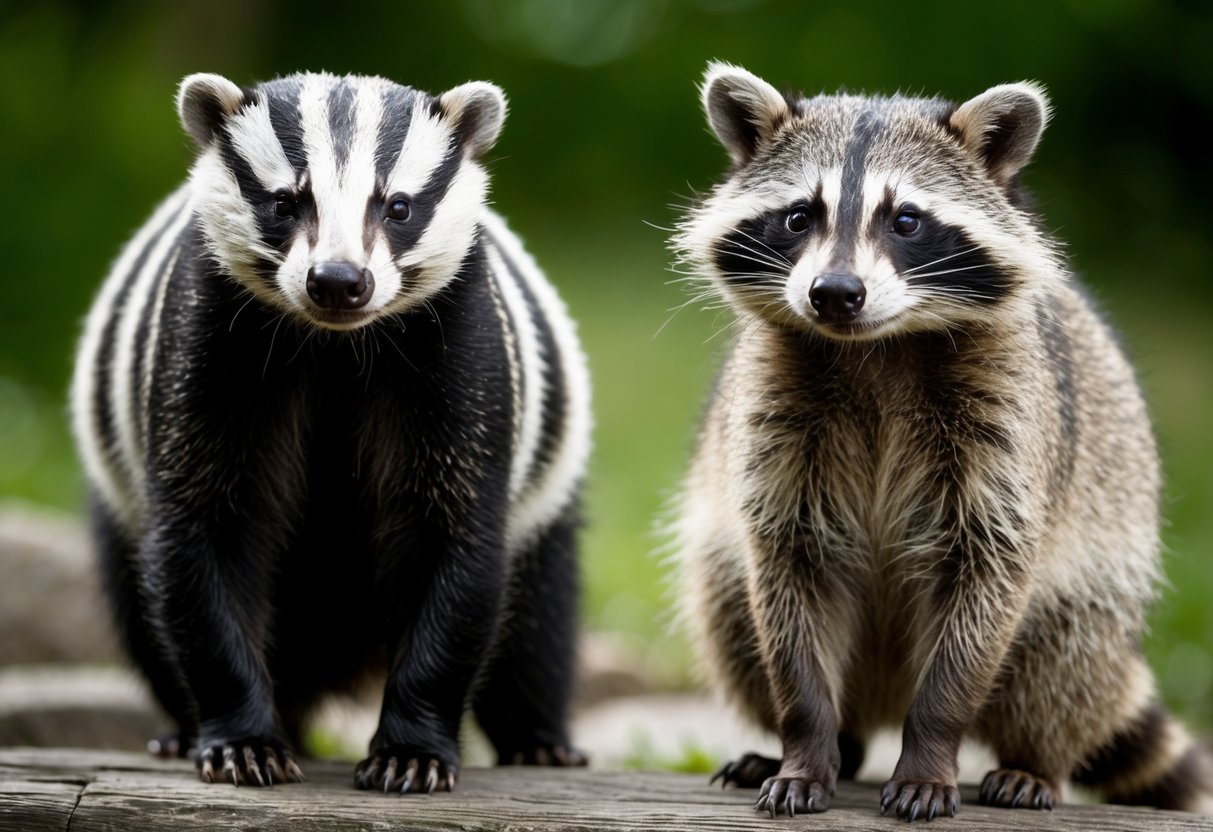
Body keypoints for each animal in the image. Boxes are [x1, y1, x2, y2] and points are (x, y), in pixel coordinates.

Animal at [70, 71, 591, 791]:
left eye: (396, 206)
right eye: (286, 202)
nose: (339, 281)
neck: (335, 351)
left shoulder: (459, 343)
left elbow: (454, 542)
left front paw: (410, 753)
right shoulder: (210, 336)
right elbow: (203, 536)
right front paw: (245, 742)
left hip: (549, 481)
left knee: (541, 615)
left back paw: (538, 740)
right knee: (133, 596)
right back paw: (186, 730)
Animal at [672, 62, 1213, 820]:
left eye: (905, 220)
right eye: (799, 216)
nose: (834, 292)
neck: (873, 349)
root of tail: (883, 696)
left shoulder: (1009, 425)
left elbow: (986, 579)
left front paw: (930, 751)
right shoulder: (775, 422)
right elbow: (787, 578)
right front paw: (804, 740)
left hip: (1098, 572)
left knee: (1063, 656)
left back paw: (1033, 762)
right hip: (726, 561)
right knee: (729, 610)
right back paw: (835, 744)